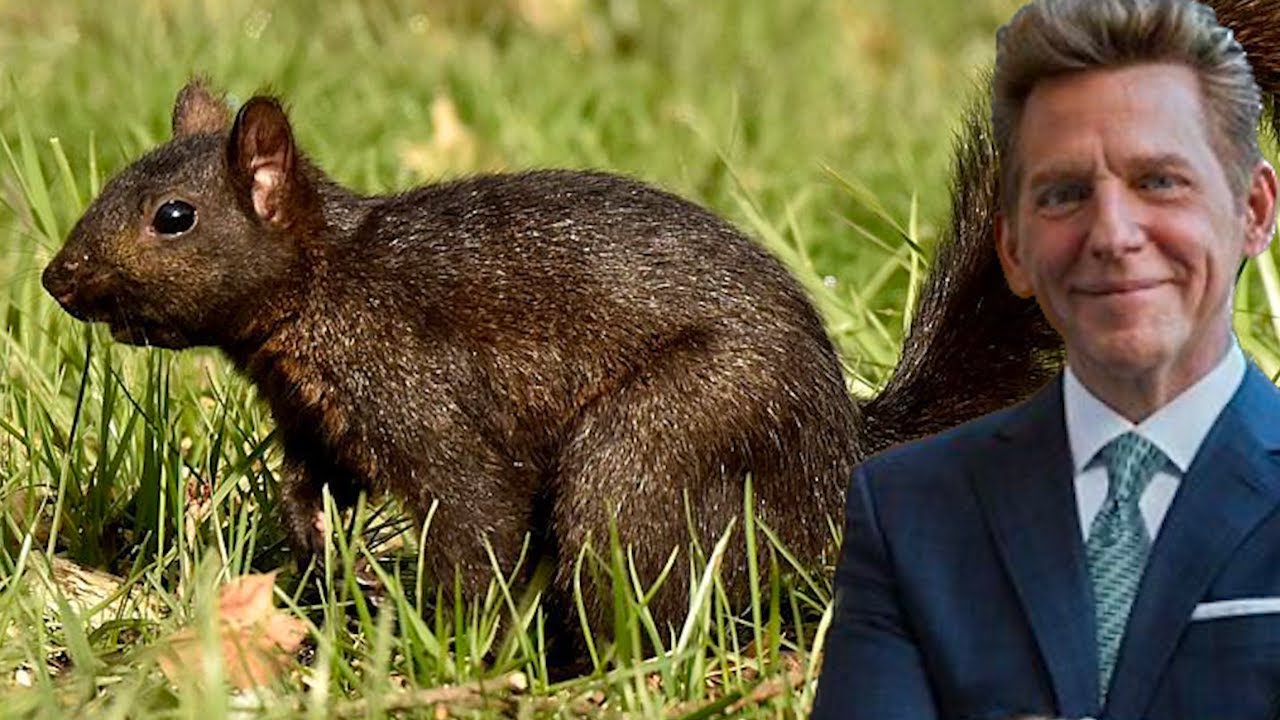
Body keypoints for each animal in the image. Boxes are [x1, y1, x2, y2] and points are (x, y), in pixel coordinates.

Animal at [40, 80, 1061, 641]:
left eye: (173, 217)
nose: (56, 277)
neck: (328, 288)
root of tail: (840, 459)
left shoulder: (420, 393)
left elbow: (475, 517)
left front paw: (447, 644)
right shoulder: (316, 417)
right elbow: (307, 489)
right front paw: (326, 561)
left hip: (659, 445)